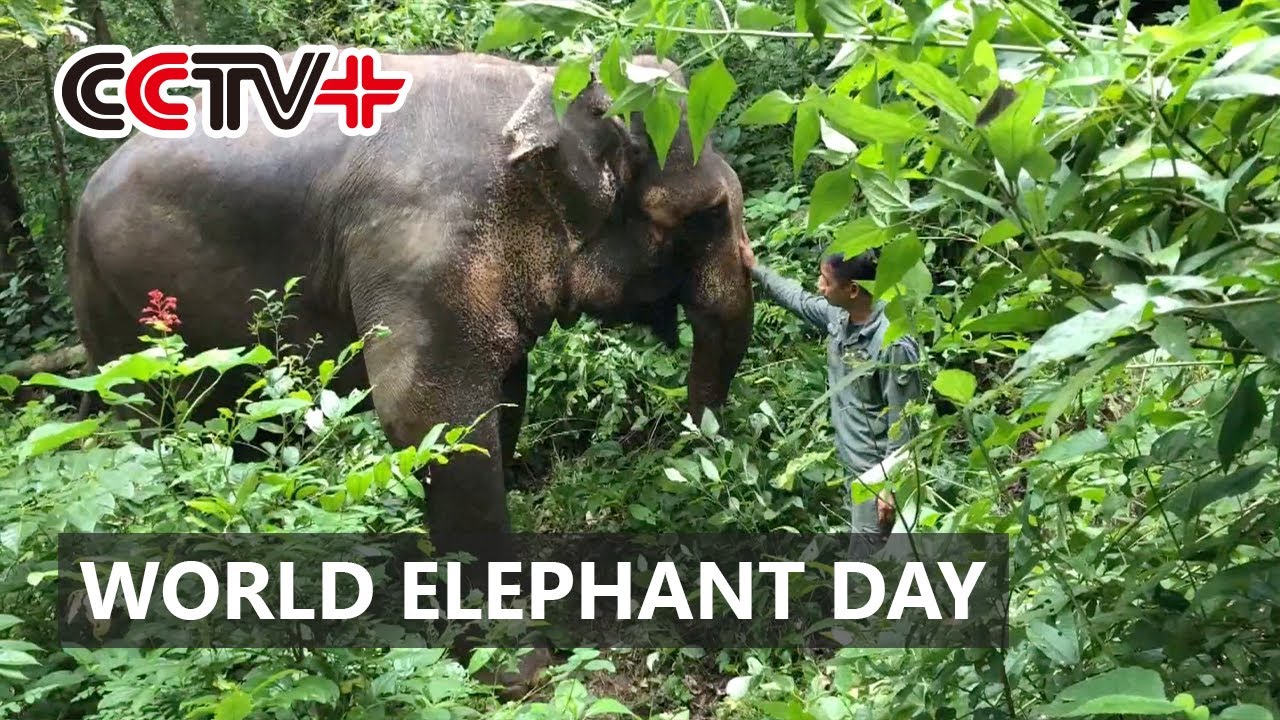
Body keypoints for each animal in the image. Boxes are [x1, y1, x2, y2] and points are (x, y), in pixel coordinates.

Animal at [65, 48, 754, 683]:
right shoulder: (423, 245)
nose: (690, 458)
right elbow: (427, 415)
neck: (542, 86)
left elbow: (501, 395)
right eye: (707, 216)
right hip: (125, 317)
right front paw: (518, 666)